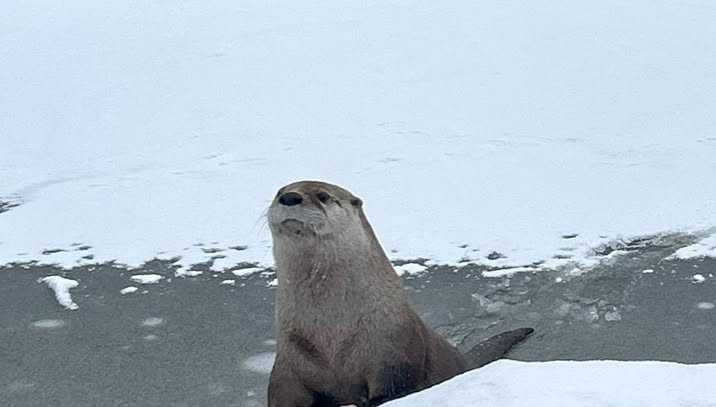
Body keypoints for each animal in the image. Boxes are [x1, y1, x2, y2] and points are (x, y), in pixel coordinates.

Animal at [267, 180, 532, 407]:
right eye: (279, 191)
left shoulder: (393, 350)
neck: (332, 333)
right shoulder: (290, 361)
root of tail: (465, 362)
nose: (290, 197)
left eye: (322, 195)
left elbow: (396, 388)